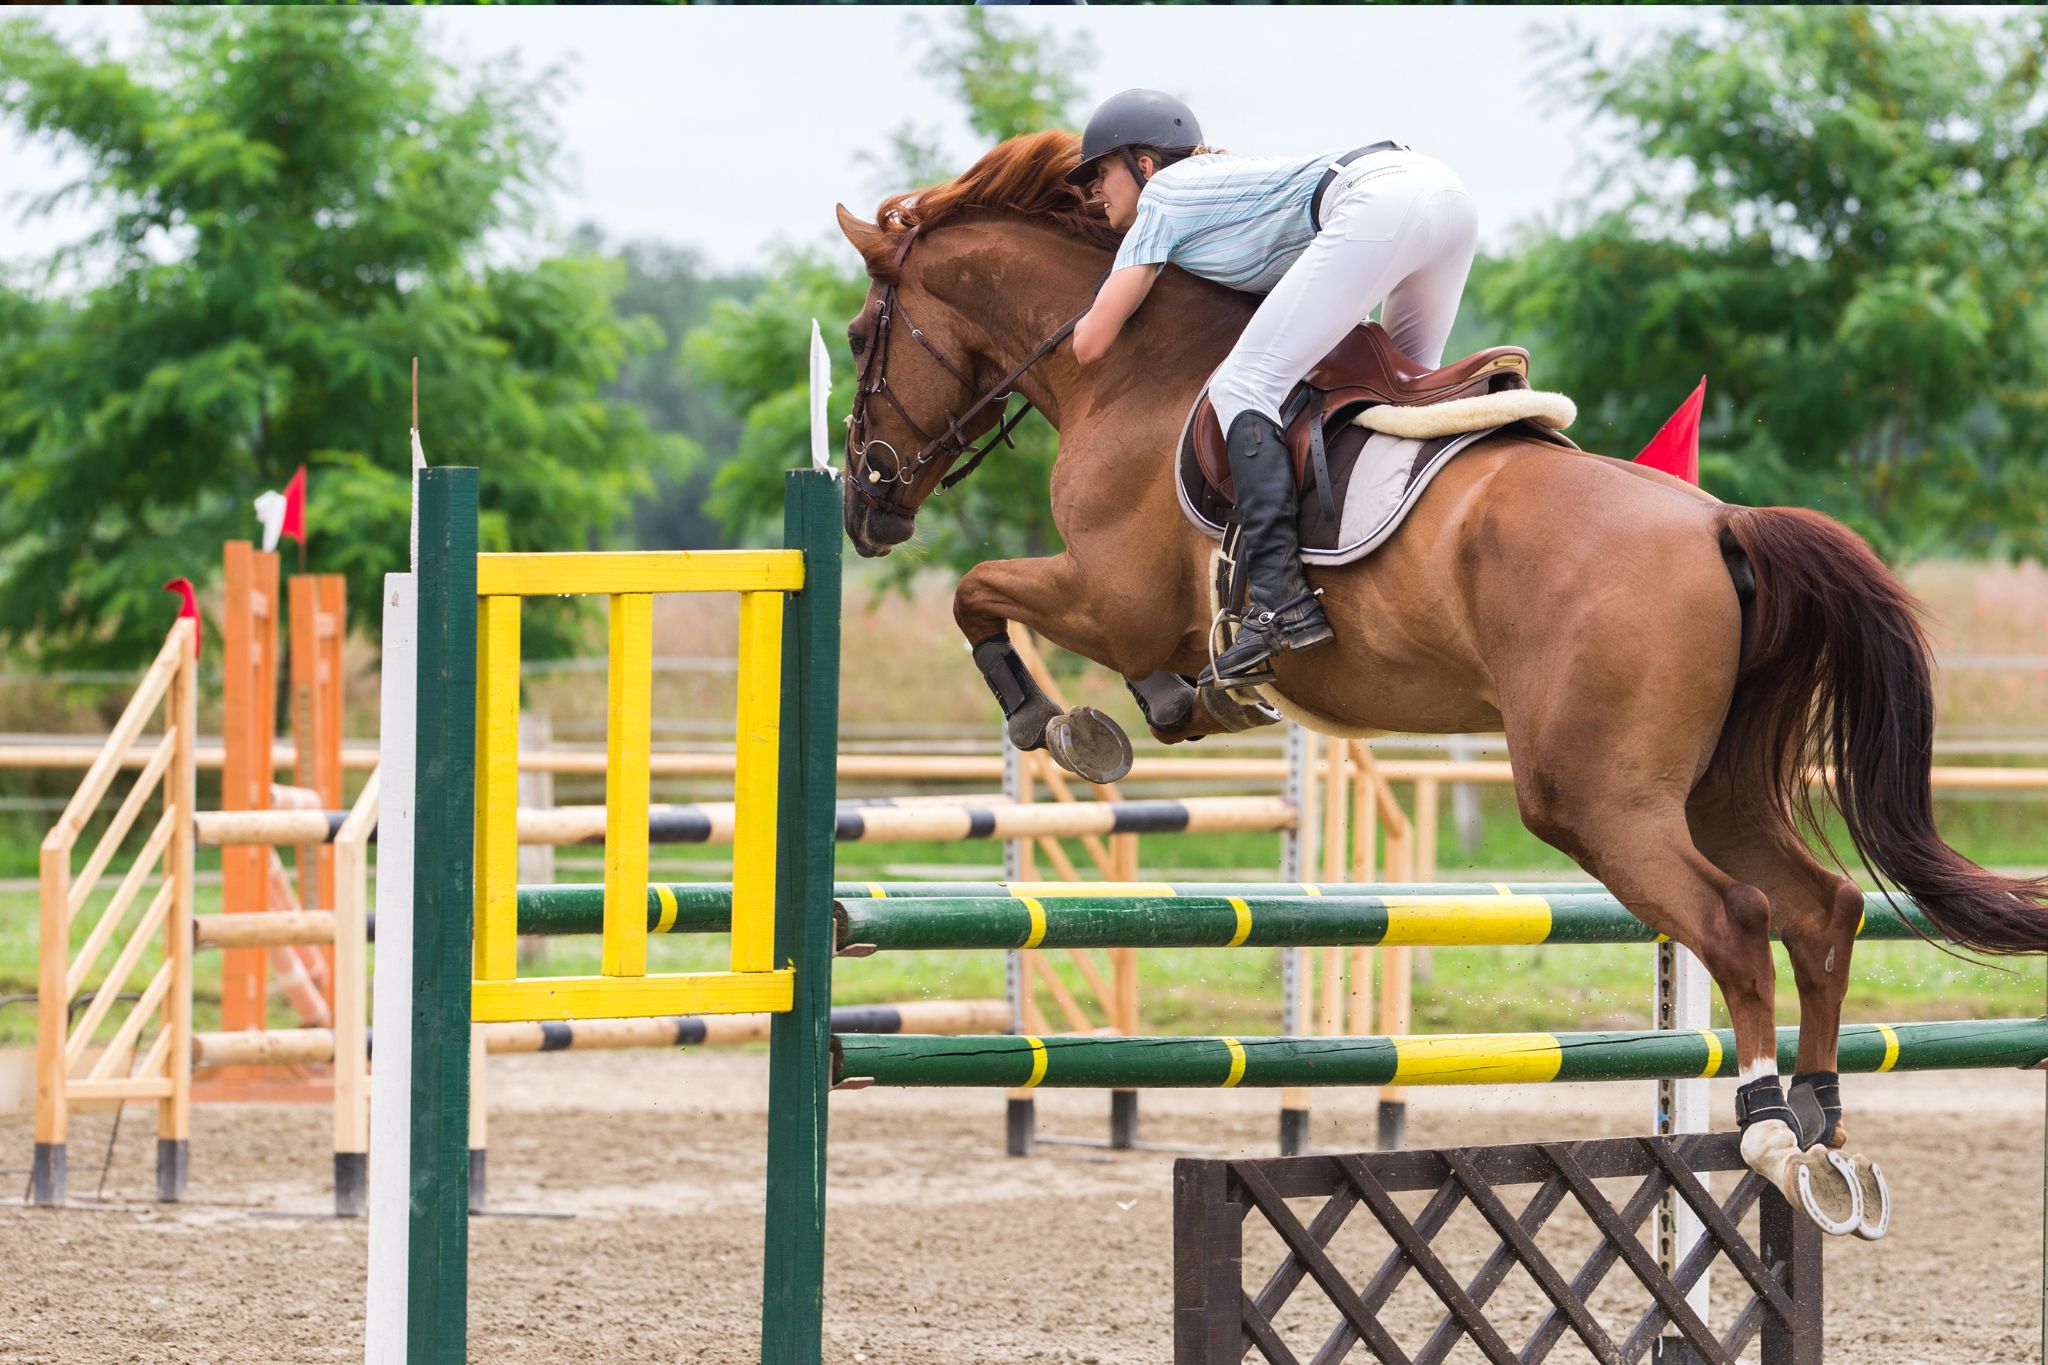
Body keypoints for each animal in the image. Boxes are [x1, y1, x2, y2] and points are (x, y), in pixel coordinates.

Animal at [834, 129, 2048, 1236]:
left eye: (856, 337)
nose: (864, 505)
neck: (1127, 368)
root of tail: (1720, 525)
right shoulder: (1127, 608)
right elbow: (1088, 642)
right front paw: (1176, 701)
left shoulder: (1107, 592)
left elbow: (978, 593)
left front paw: (1058, 721)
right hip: (1711, 788)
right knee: (1820, 908)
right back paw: (1819, 1124)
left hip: (1595, 798)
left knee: (1737, 919)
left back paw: (1762, 1128)